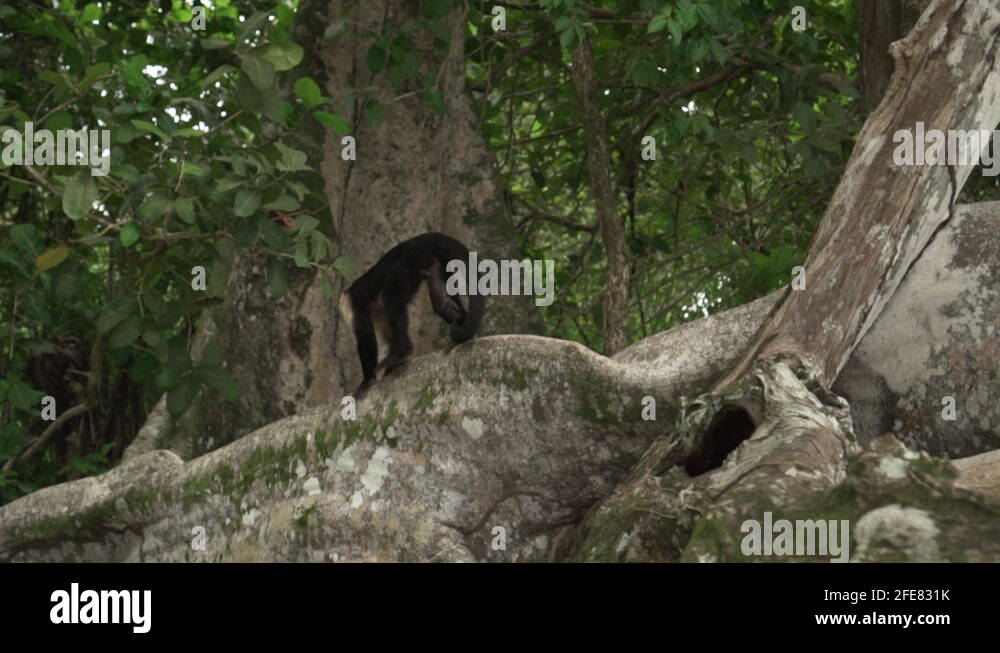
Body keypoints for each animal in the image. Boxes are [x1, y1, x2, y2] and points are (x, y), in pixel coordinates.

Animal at [339, 232, 485, 397]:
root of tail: (417, 239)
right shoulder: (378, 316)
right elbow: (387, 336)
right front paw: (390, 369)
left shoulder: (349, 304)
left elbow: (365, 337)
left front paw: (367, 381)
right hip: (431, 261)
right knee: (440, 303)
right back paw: (459, 328)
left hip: (411, 257)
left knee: (391, 294)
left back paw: (403, 350)